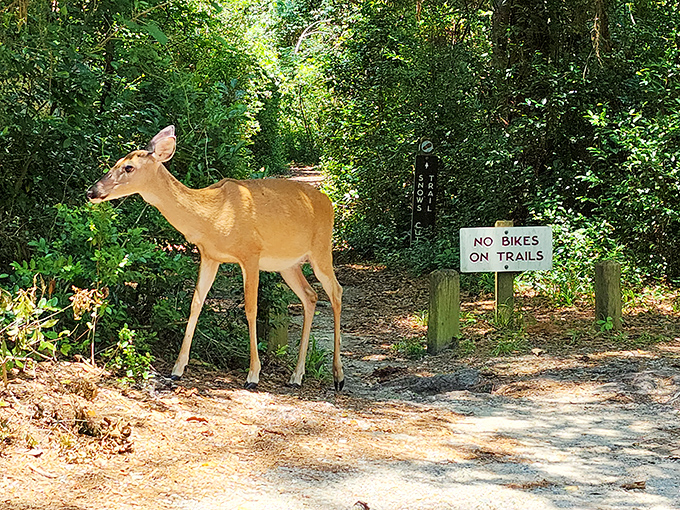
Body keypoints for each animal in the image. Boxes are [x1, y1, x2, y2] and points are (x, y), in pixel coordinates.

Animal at [86, 126, 344, 391]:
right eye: (115, 162)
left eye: (128, 167)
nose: (91, 192)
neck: (211, 215)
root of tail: (329, 203)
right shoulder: (210, 256)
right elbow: (195, 304)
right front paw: (177, 370)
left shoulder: (250, 253)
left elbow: (251, 308)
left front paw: (253, 375)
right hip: (287, 264)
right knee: (310, 296)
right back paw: (296, 376)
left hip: (321, 250)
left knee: (336, 291)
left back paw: (338, 377)